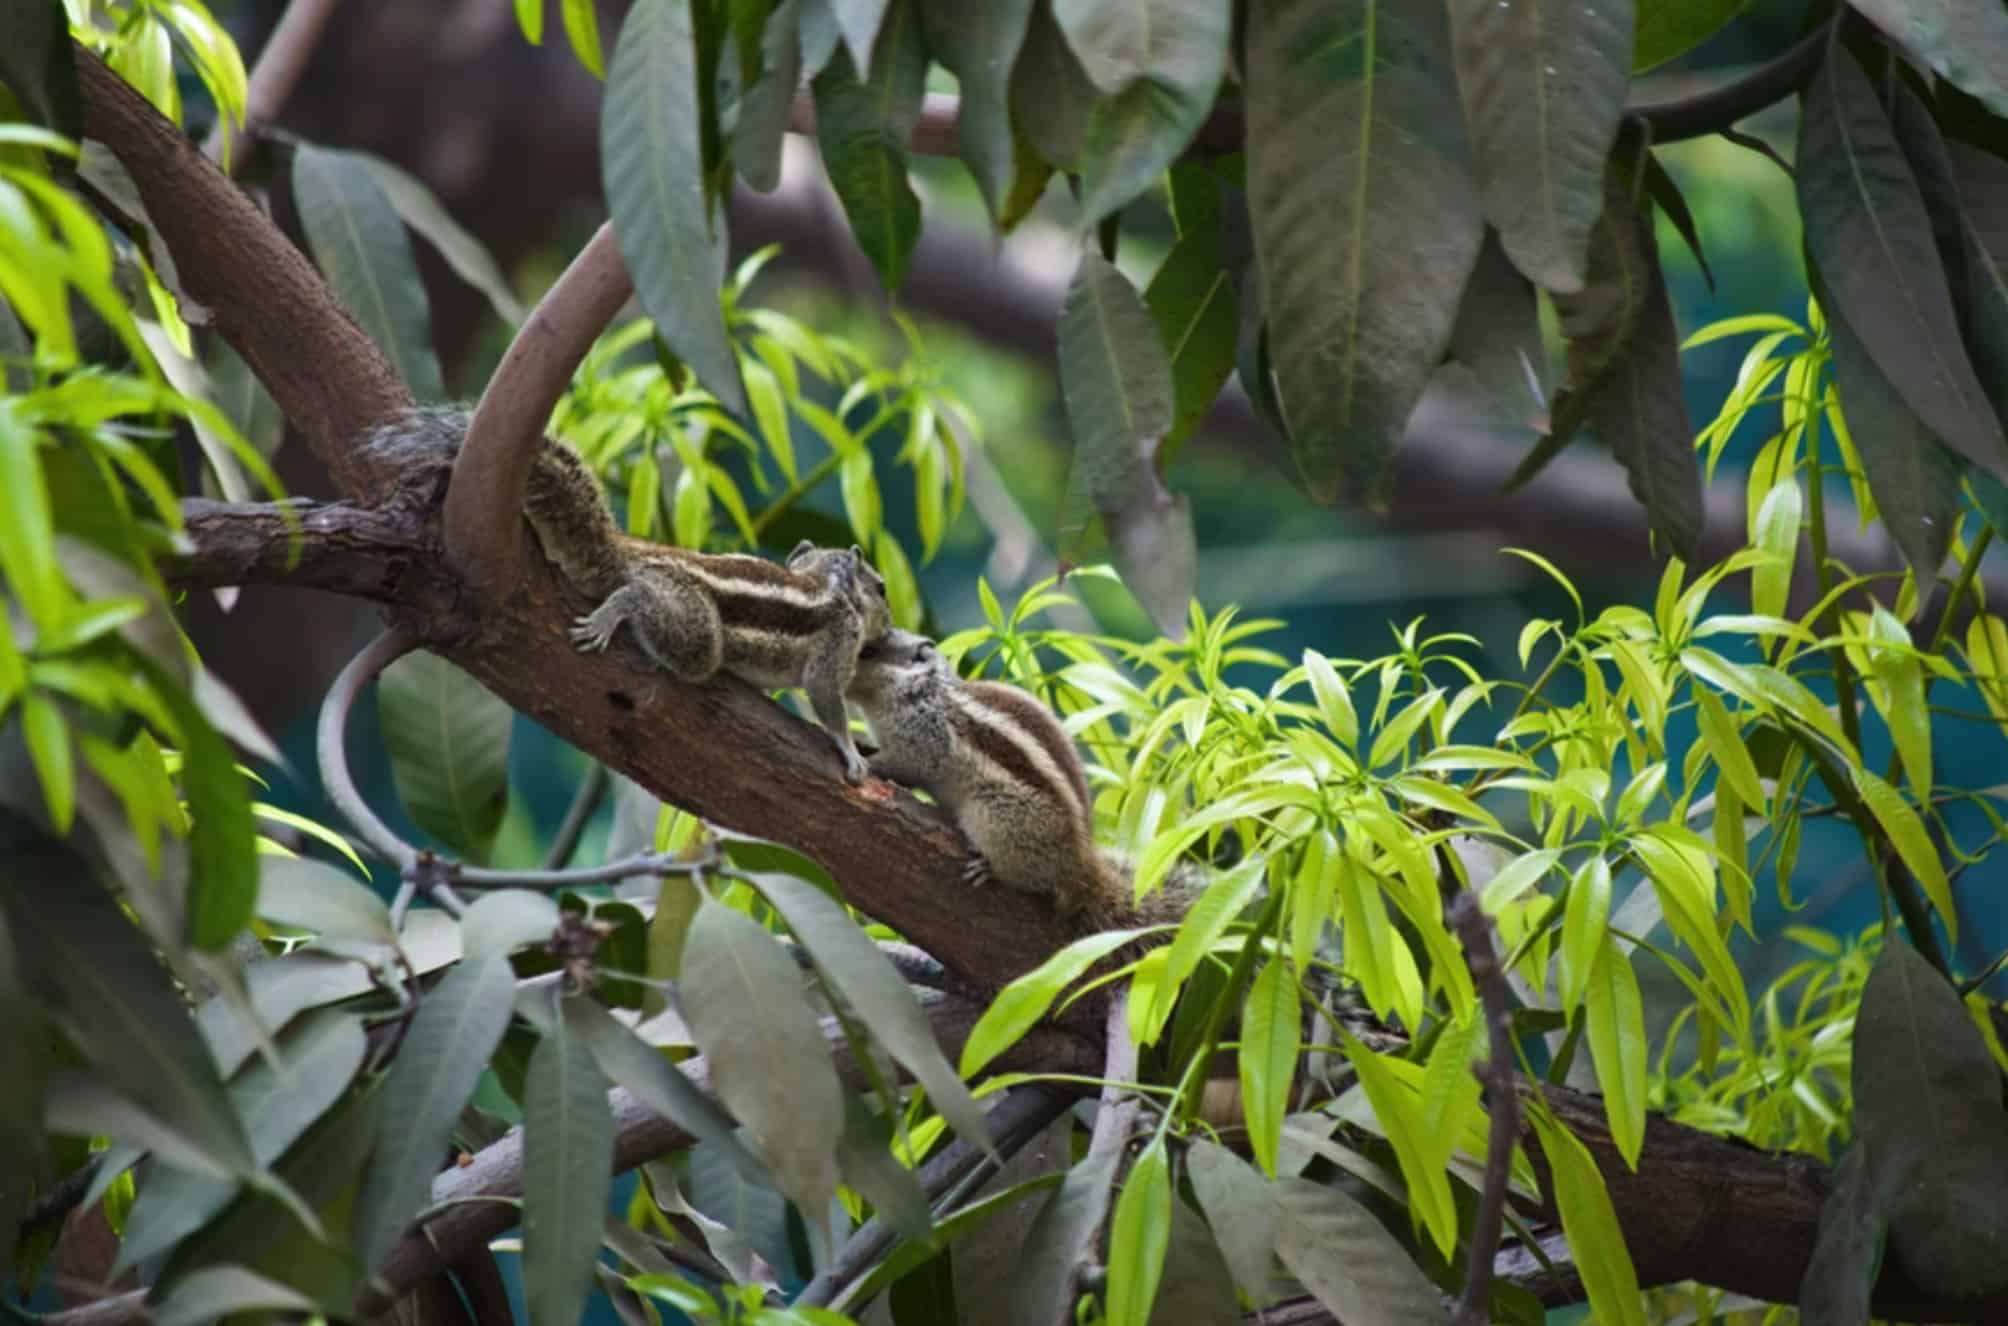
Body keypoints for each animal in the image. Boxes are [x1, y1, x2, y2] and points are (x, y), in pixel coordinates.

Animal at [368, 407, 891, 782]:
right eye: (883, 589)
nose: (889, 629)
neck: (831, 586)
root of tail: (627, 552)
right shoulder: (838, 639)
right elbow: (825, 696)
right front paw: (851, 752)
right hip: (696, 630)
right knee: (641, 598)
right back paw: (613, 612)